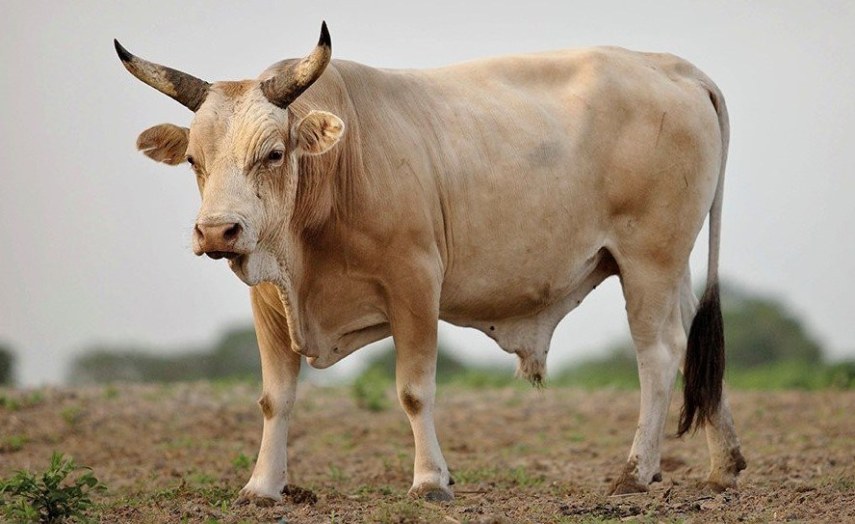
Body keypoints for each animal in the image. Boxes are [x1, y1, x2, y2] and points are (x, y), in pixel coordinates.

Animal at [115, 22, 746, 503]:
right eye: (193, 160)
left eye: (272, 153)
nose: (217, 231)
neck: (338, 172)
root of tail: (673, 67)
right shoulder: (268, 301)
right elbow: (276, 399)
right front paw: (262, 487)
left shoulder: (414, 283)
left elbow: (414, 390)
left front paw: (429, 481)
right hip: (672, 266)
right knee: (692, 342)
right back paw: (723, 467)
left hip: (649, 260)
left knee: (658, 353)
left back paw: (636, 473)